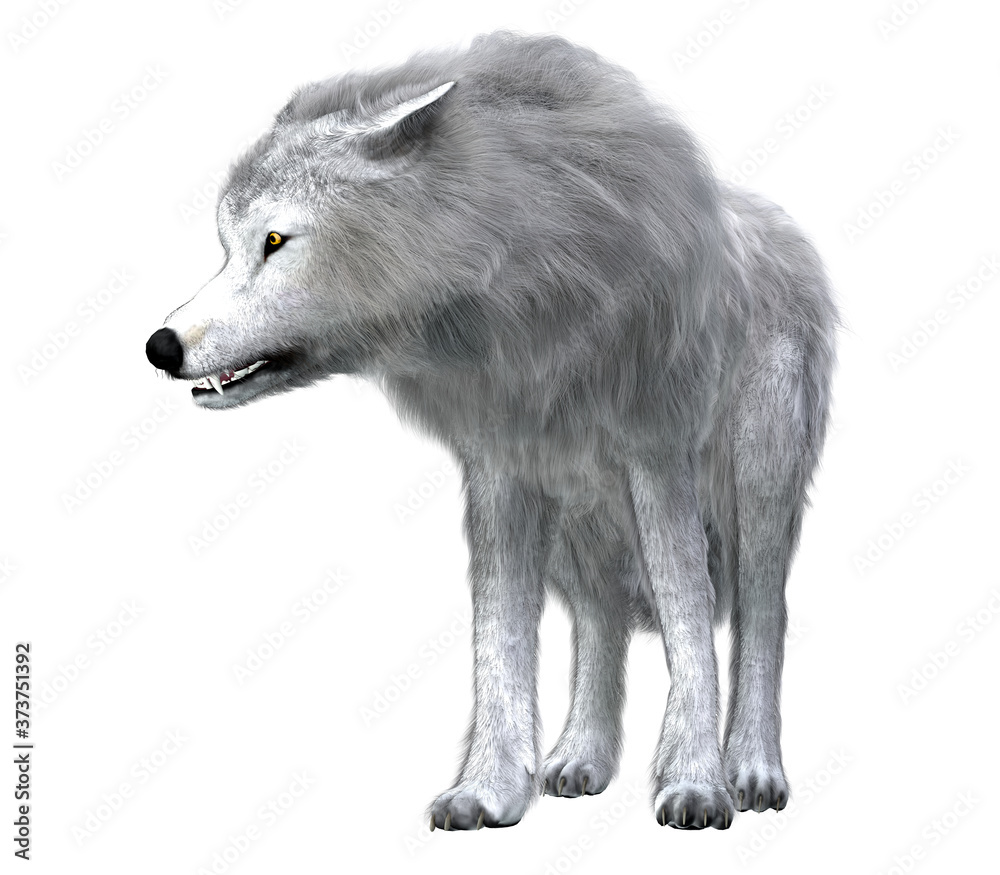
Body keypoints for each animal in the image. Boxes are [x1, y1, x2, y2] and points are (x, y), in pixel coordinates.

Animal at [146, 31, 837, 831]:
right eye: (228, 245)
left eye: (277, 240)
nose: (160, 346)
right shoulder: (503, 469)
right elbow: (498, 639)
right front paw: (488, 790)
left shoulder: (656, 453)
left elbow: (689, 623)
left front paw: (695, 784)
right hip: (579, 523)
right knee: (600, 621)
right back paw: (580, 760)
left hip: (752, 494)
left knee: (761, 620)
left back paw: (753, 770)